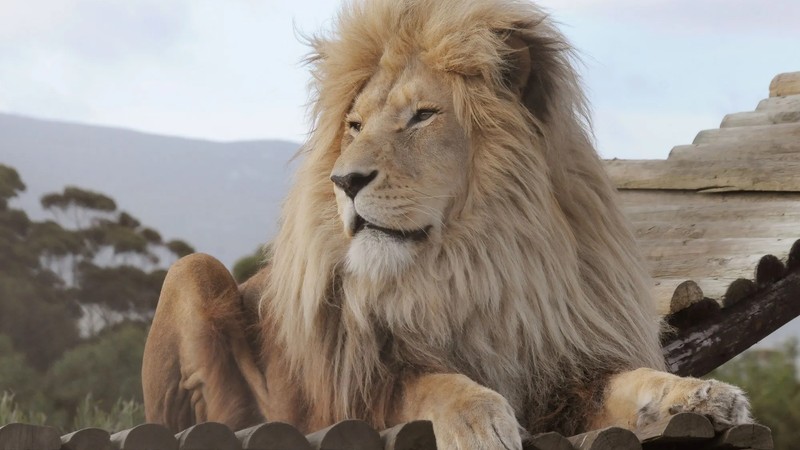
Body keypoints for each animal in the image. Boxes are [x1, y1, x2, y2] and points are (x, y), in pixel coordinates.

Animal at [142, 0, 752, 447]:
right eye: (355, 125)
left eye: (422, 116)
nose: (345, 180)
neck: (471, 266)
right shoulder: (359, 392)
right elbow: (436, 385)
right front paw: (483, 421)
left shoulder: (563, 374)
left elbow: (637, 381)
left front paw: (705, 395)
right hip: (192, 272)